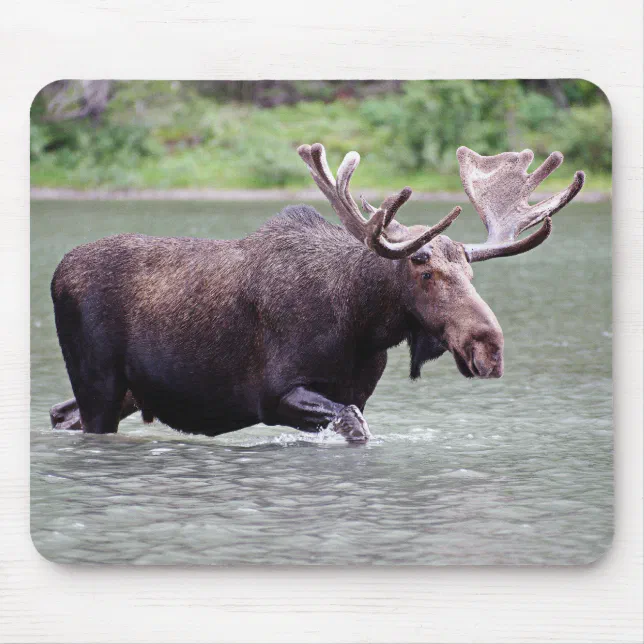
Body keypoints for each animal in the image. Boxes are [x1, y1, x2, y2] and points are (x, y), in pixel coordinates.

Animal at [49, 143, 585, 442]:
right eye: (424, 272)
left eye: (471, 274)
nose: (489, 349)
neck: (363, 327)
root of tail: (56, 274)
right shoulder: (276, 393)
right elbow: (352, 427)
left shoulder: (356, 392)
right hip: (99, 384)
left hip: (126, 392)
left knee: (59, 413)